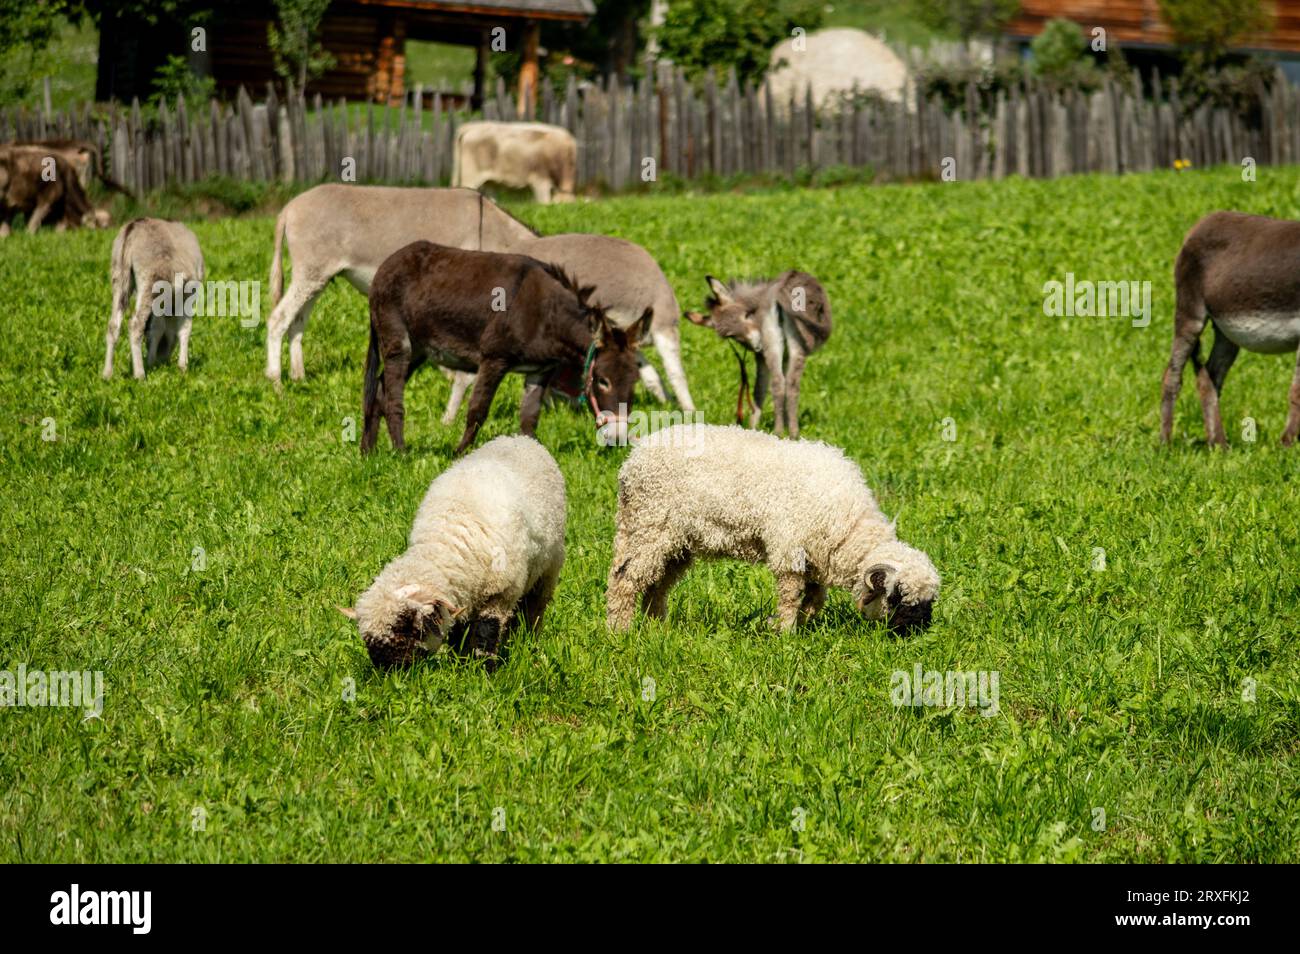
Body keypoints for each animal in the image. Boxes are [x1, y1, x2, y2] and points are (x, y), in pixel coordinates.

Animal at [338, 436, 566, 670]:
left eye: (408, 627)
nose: (391, 673)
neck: (448, 542)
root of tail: (519, 438)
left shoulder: (501, 593)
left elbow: (487, 632)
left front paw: (484, 668)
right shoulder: (463, 592)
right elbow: (459, 633)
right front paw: (460, 661)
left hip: (548, 569)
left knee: (534, 609)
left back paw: (529, 639)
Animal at [606, 424, 939, 634]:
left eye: (929, 602)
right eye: (897, 598)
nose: (917, 633)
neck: (848, 527)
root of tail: (633, 461)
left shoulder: (814, 556)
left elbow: (814, 597)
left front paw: (803, 625)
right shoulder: (789, 549)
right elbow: (791, 595)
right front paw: (786, 631)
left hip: (673, 539)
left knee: (656, 585)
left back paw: (657, 628)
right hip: (651, 526)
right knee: (626, 579)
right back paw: (620, 632)